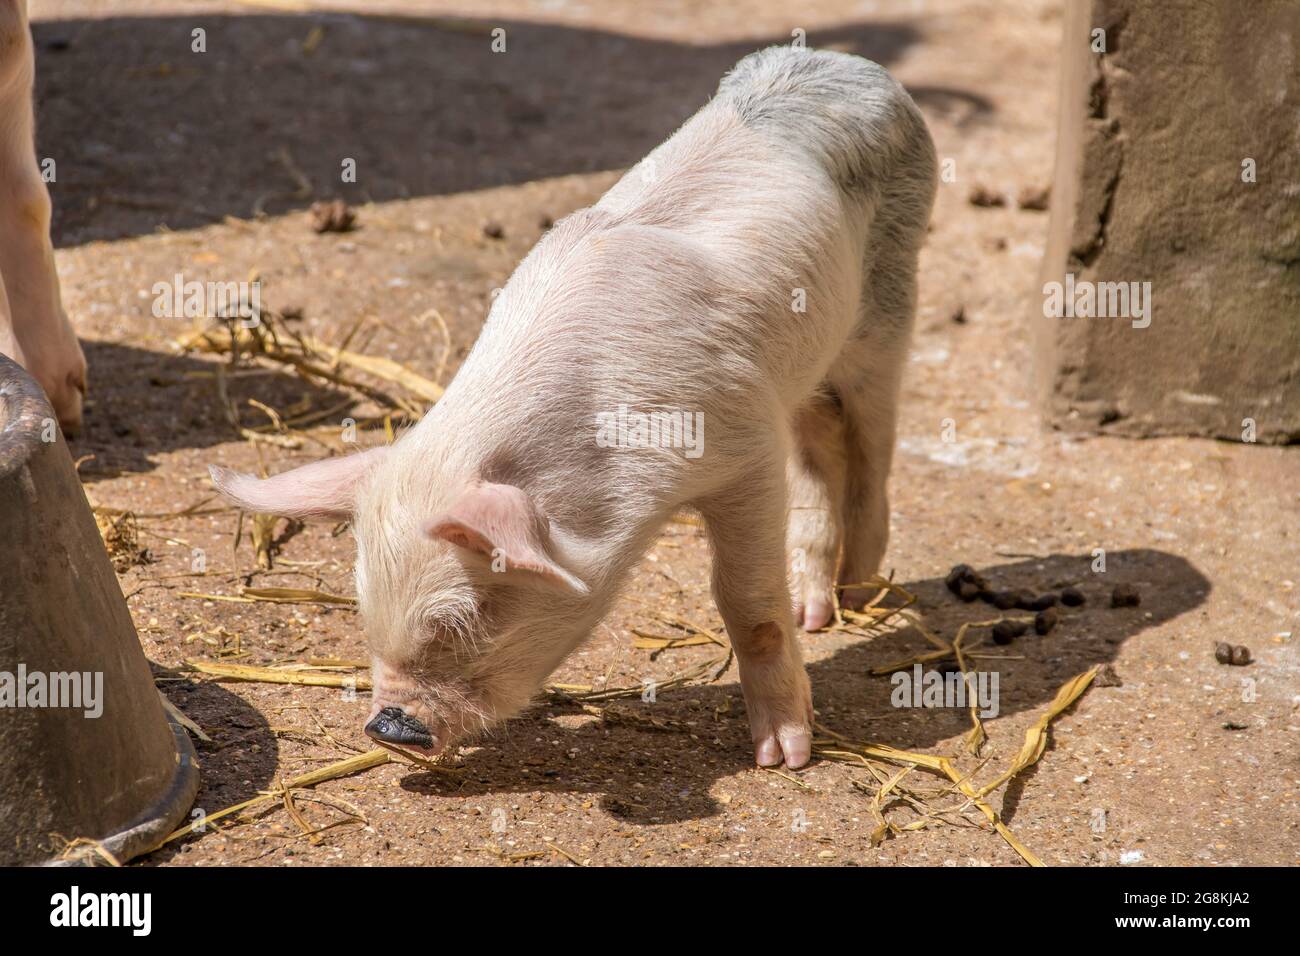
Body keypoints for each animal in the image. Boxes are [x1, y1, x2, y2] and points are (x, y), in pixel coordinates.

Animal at [210, 47, 936, 769]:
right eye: (363, 608)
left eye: (469, 615)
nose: (388, 730)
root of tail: (845, 63)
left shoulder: (745, 444)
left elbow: (745, 600)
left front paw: (782, 757)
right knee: (820, 441)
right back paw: (820, 612)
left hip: (889, 301)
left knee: (874, 438)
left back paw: (860, 594)